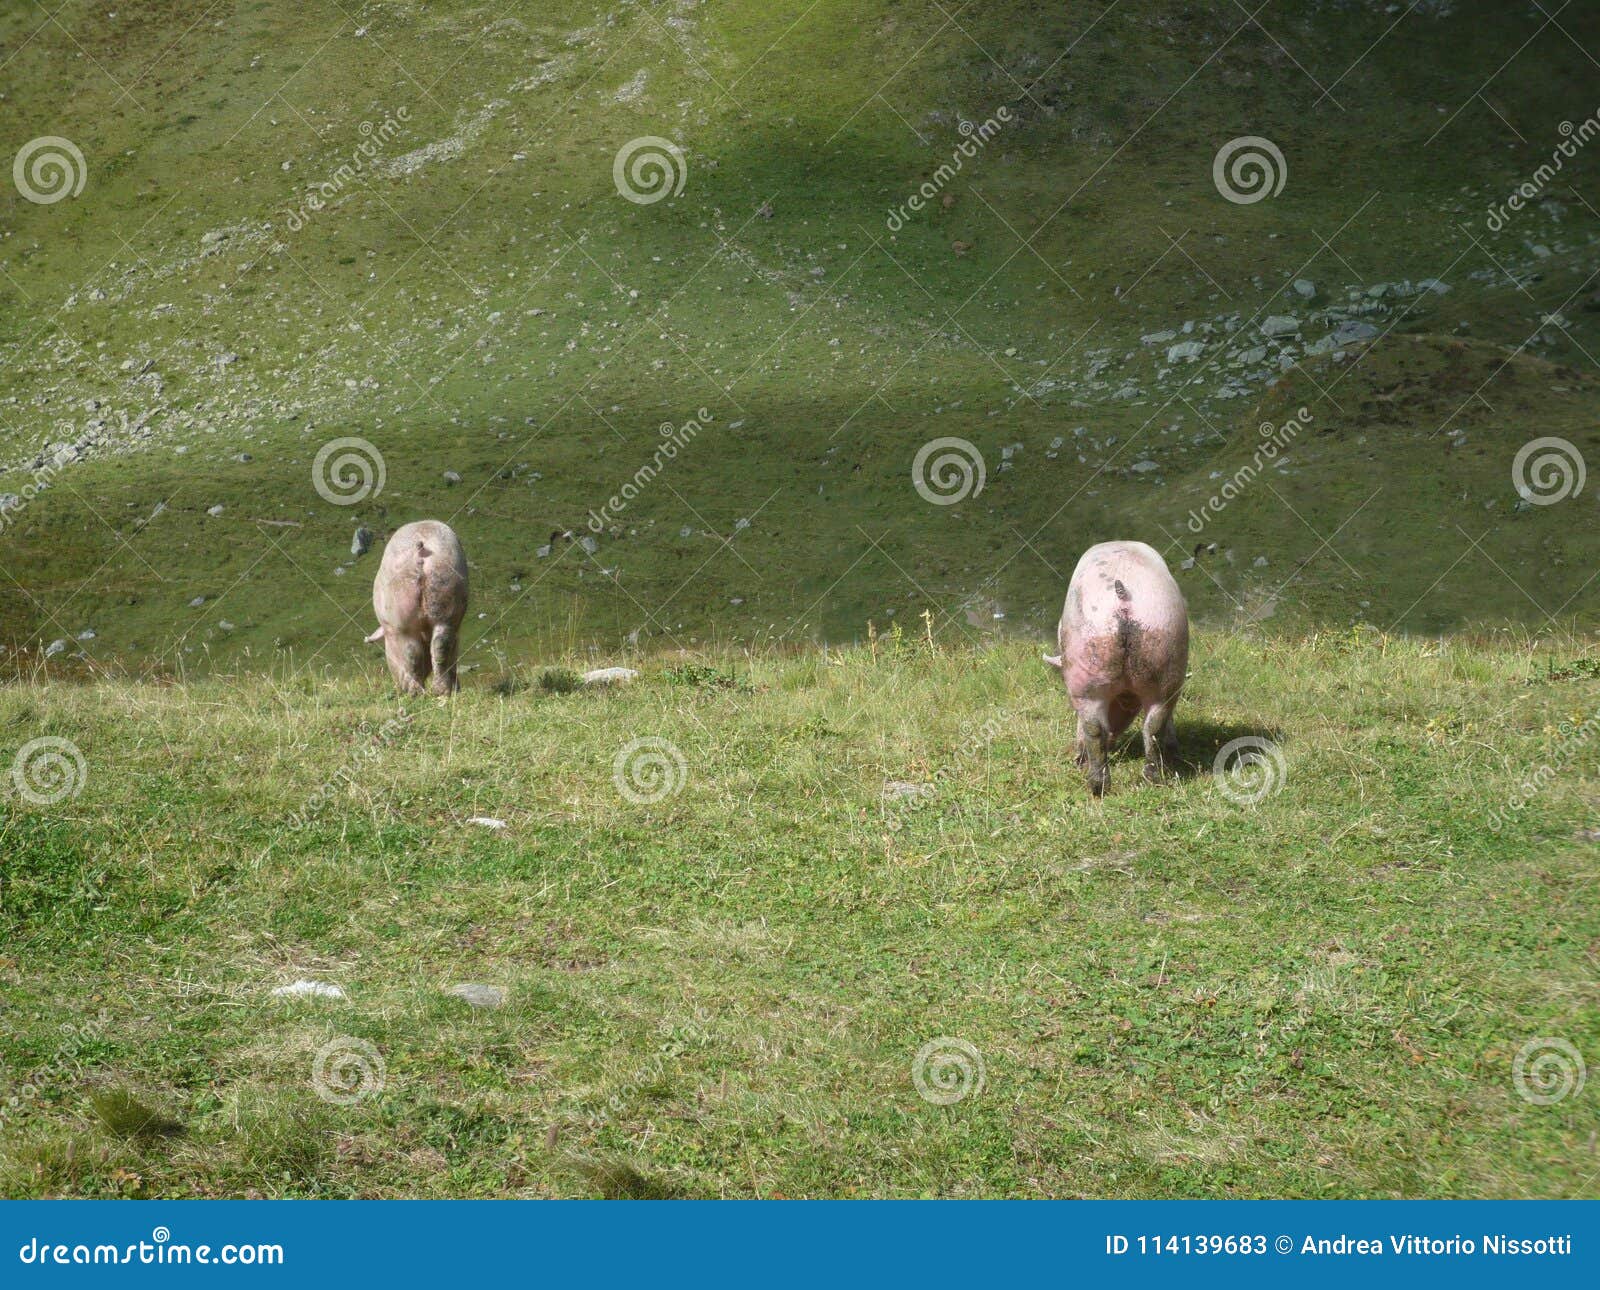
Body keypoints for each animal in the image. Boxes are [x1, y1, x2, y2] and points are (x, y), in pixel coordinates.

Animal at [365, 520, 469, 695]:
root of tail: (421, 550)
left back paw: (415, 693)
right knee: (441, 645)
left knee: (411, 652)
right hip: (447, 595)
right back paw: (442, 691)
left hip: (400, 617)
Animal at [1044, 540, 1188, 796]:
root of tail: (1122, 595)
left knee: (1094, 728)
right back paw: (1149, 779)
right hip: (1165, 656)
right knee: (1153, 725)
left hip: (1085, 674)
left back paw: (1097, 786)